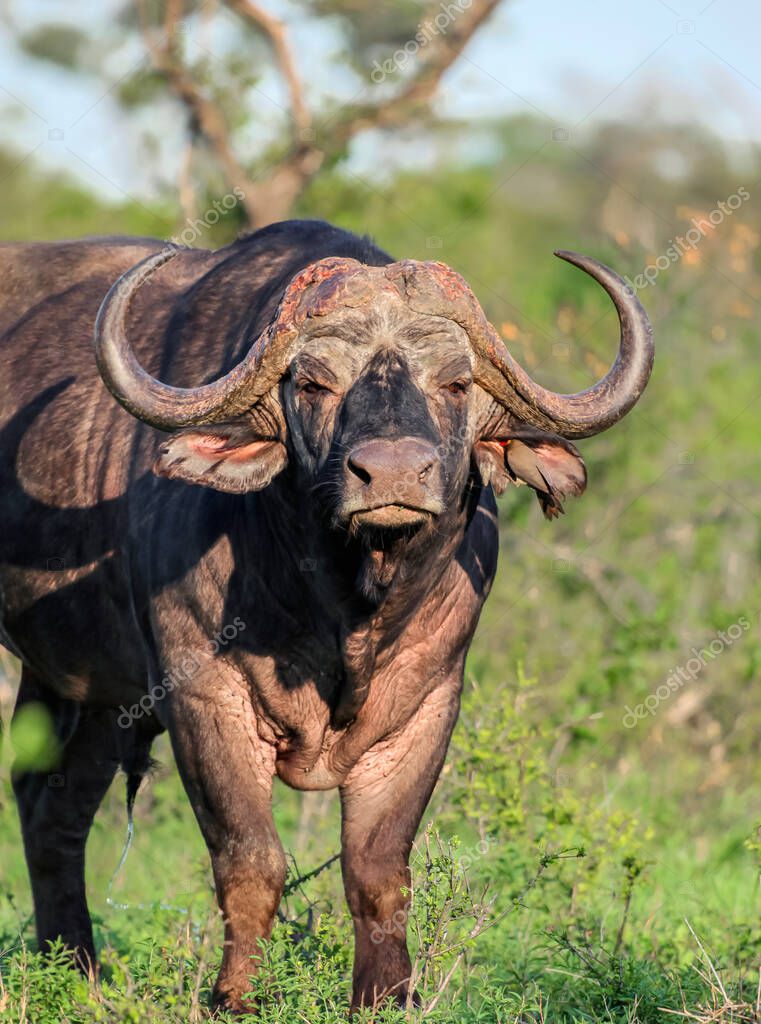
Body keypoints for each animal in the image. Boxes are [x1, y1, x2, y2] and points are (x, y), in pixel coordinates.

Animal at [0, 219, 653, 1013]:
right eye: (314, 383)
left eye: (455, 383)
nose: (392, 474)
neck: (343, 607)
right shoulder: (203, 698)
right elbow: (251, 861)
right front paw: (236, 997)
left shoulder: (426, 705)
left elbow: (378, 868)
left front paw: (386, 998)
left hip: (85, 689)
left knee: (50, 805)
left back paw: (76, 975)